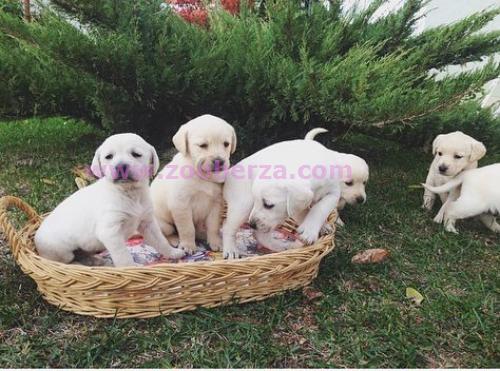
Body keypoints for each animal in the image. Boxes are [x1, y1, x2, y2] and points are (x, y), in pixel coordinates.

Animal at [34, 134, 185, 268]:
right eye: (109, 157)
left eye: (136, 154)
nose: (121, 166)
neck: (128, 193)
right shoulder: (110, 232)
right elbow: (123, 256)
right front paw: (130, 269)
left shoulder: (147, 223)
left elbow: (161, 241)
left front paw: (174, 253)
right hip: (61, 252)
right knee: (69, 262)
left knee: (82, 255)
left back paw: (97, 261)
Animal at [150, 115, 236, 254]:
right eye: (203, 145)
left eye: (226, 144)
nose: (219, 161)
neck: (202, 175)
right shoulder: (181, 204)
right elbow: (187, 228)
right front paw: (188, 245)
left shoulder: (216, 204)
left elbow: (213, 226)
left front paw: (216, 242)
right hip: (163, 224)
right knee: (166, 234)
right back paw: (175, 240)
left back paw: (202, 234)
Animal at [223, 129, 344, 260]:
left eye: (268, 205)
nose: (252, 224)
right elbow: (306, 212)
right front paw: (309, 231)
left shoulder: (333, 193)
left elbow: (320, 208)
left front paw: (312, 229)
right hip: (243, 204)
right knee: (228, 228)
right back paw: (230, 250)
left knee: (260, 235)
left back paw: (283, 246)